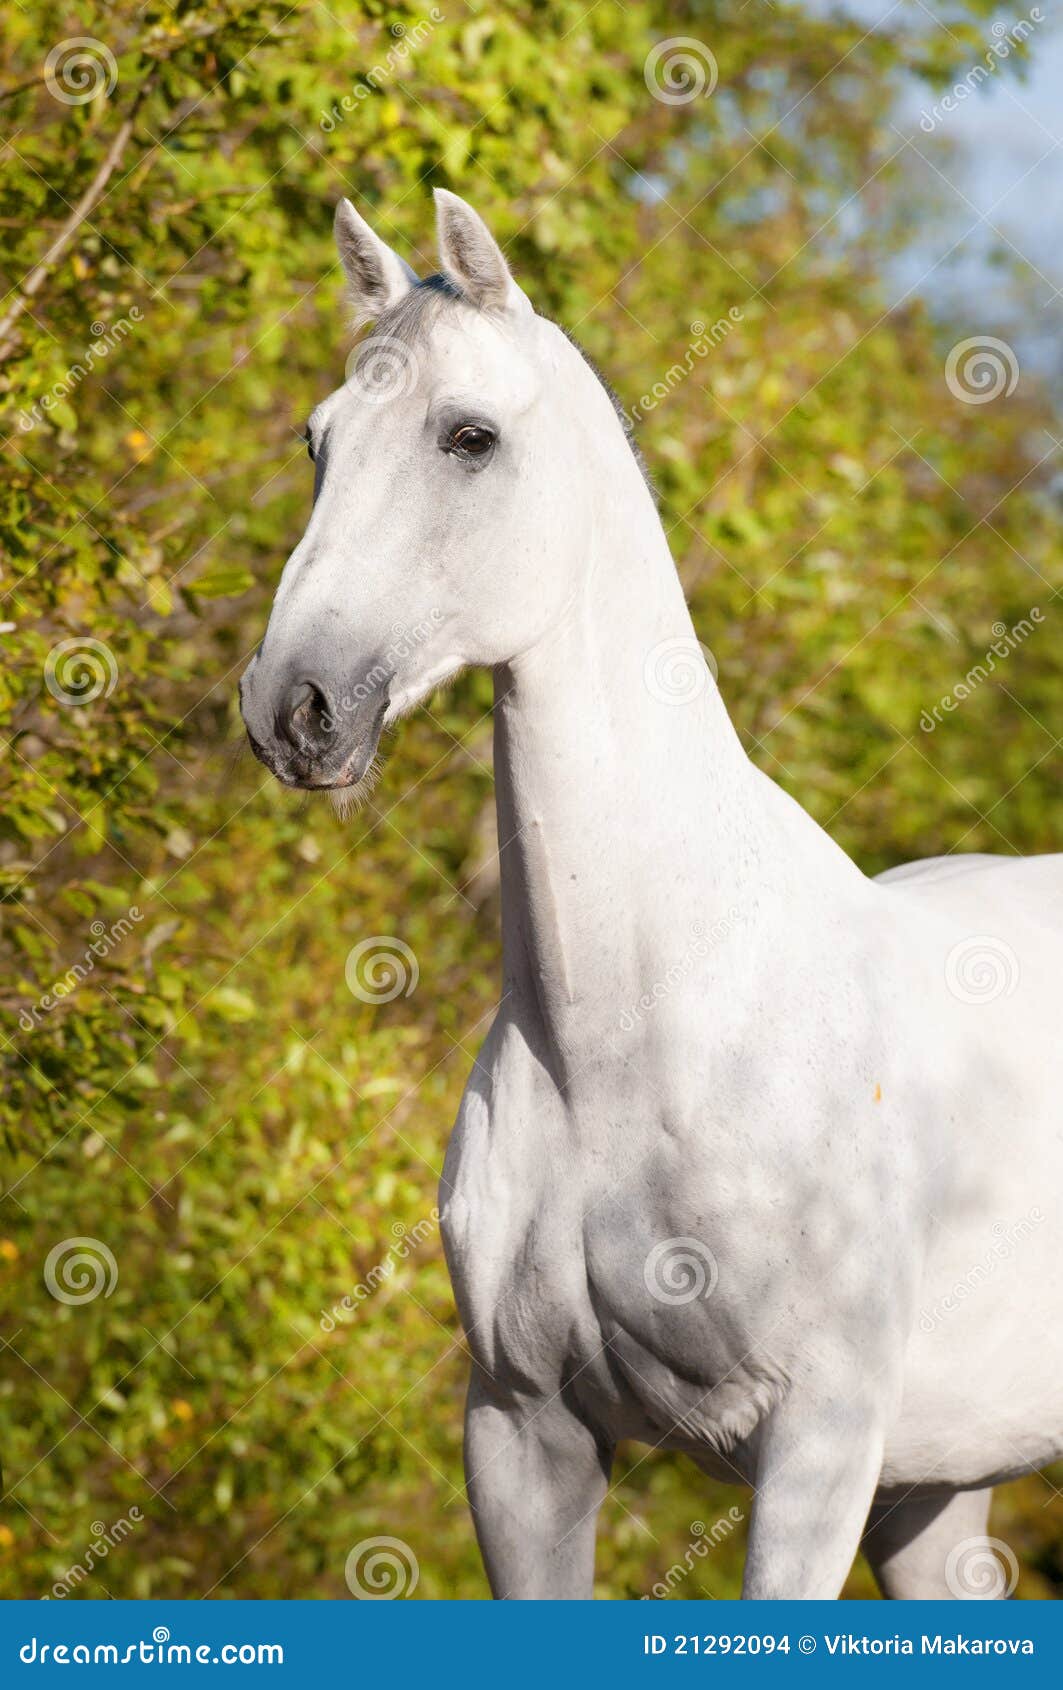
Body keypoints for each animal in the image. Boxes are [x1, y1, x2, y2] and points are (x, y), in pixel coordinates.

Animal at [240, 190, 1063, 1600]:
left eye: (469, 437)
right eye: (316, 440)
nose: (293, 709)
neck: (644, 1039)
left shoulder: (817, 1448)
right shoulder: (524, 1435)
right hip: (939, 1489)